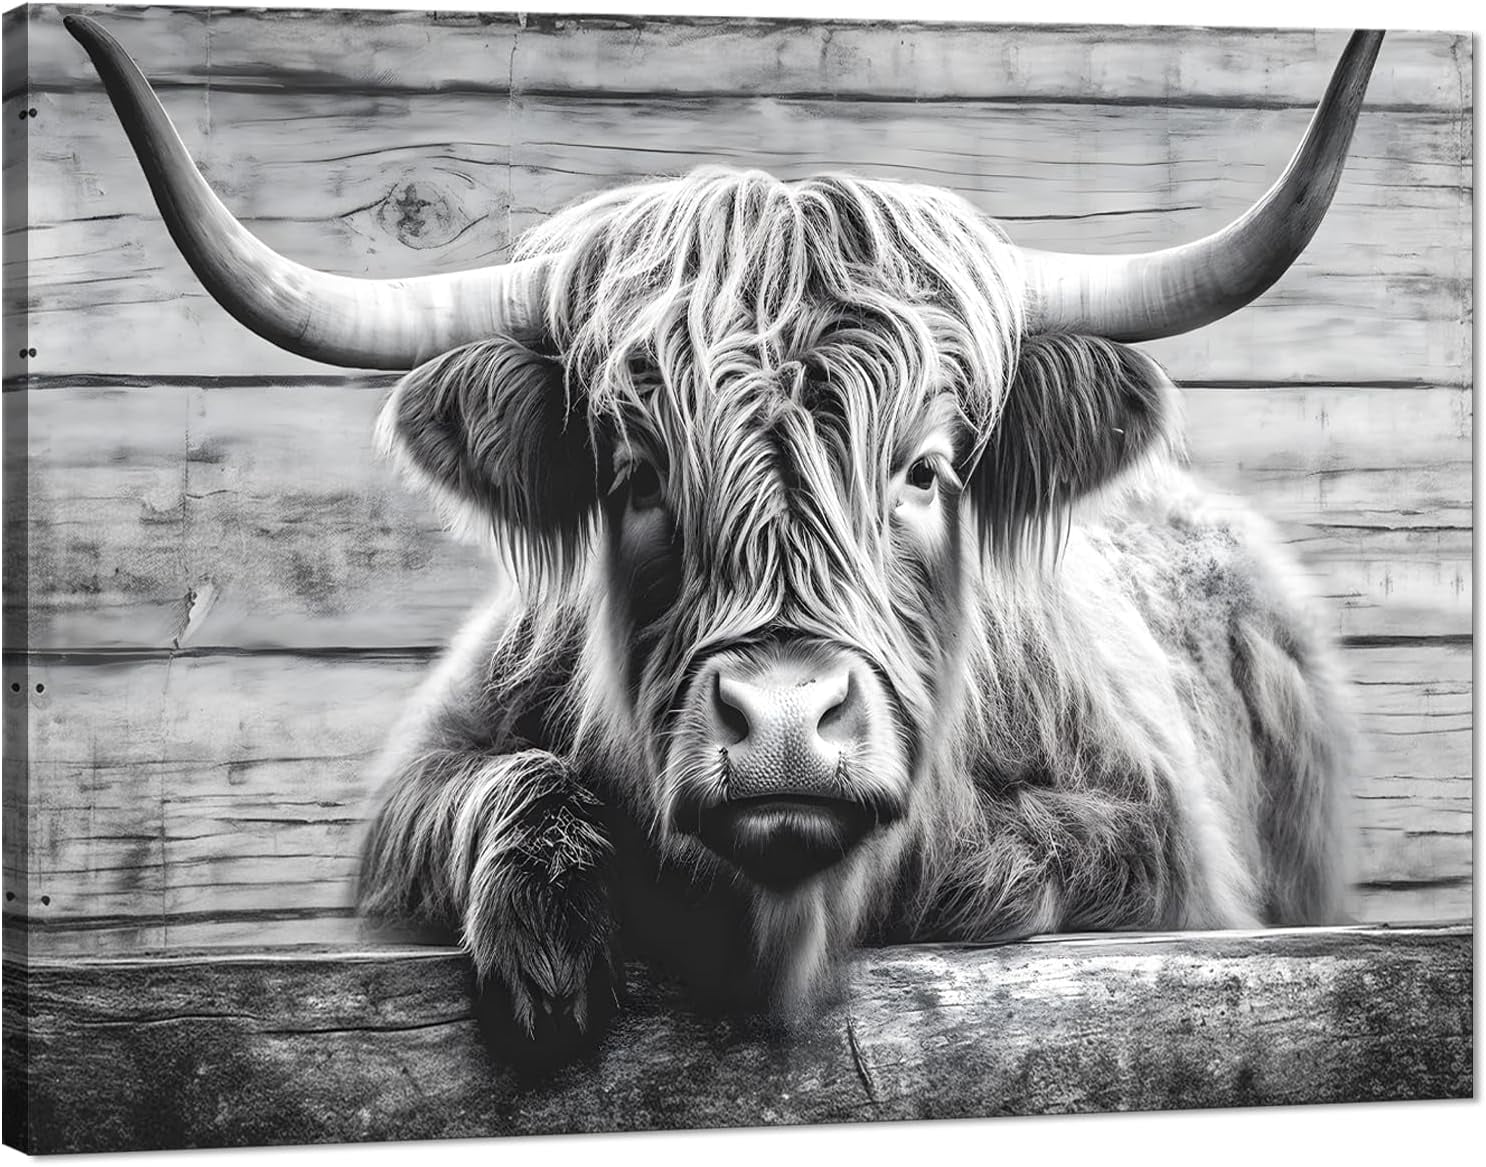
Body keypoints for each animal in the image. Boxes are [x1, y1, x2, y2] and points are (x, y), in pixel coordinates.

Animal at [71, 16, 1380, 1060]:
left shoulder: (1159, 841)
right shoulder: (413, 802)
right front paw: (551, 944)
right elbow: (497, 782)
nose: (787, 725)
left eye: (923, 471)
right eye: (638, 476)